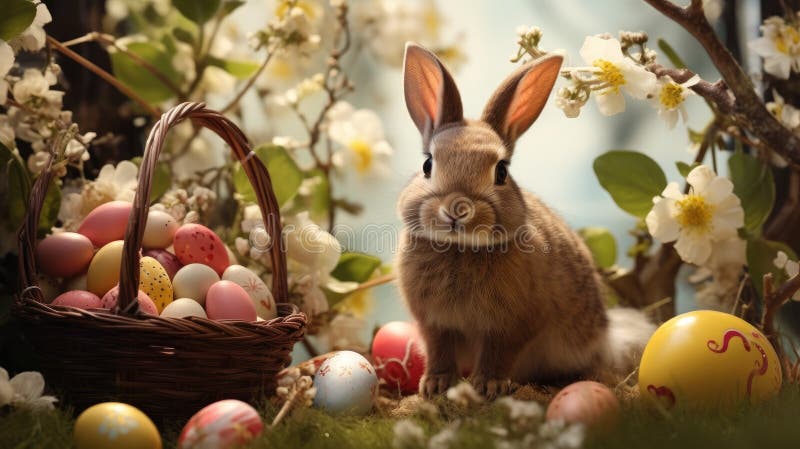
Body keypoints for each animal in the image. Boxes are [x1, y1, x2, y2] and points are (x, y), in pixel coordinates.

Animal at [396, 42, 656, 399]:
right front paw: (435, 386)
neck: (461, 248)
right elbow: (439, 351)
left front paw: (488, 386)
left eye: (501, 172)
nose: (457, 209)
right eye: (427, 165)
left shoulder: (513, 325)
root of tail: (606, 339)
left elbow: (498, 353)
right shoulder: (434, 324)